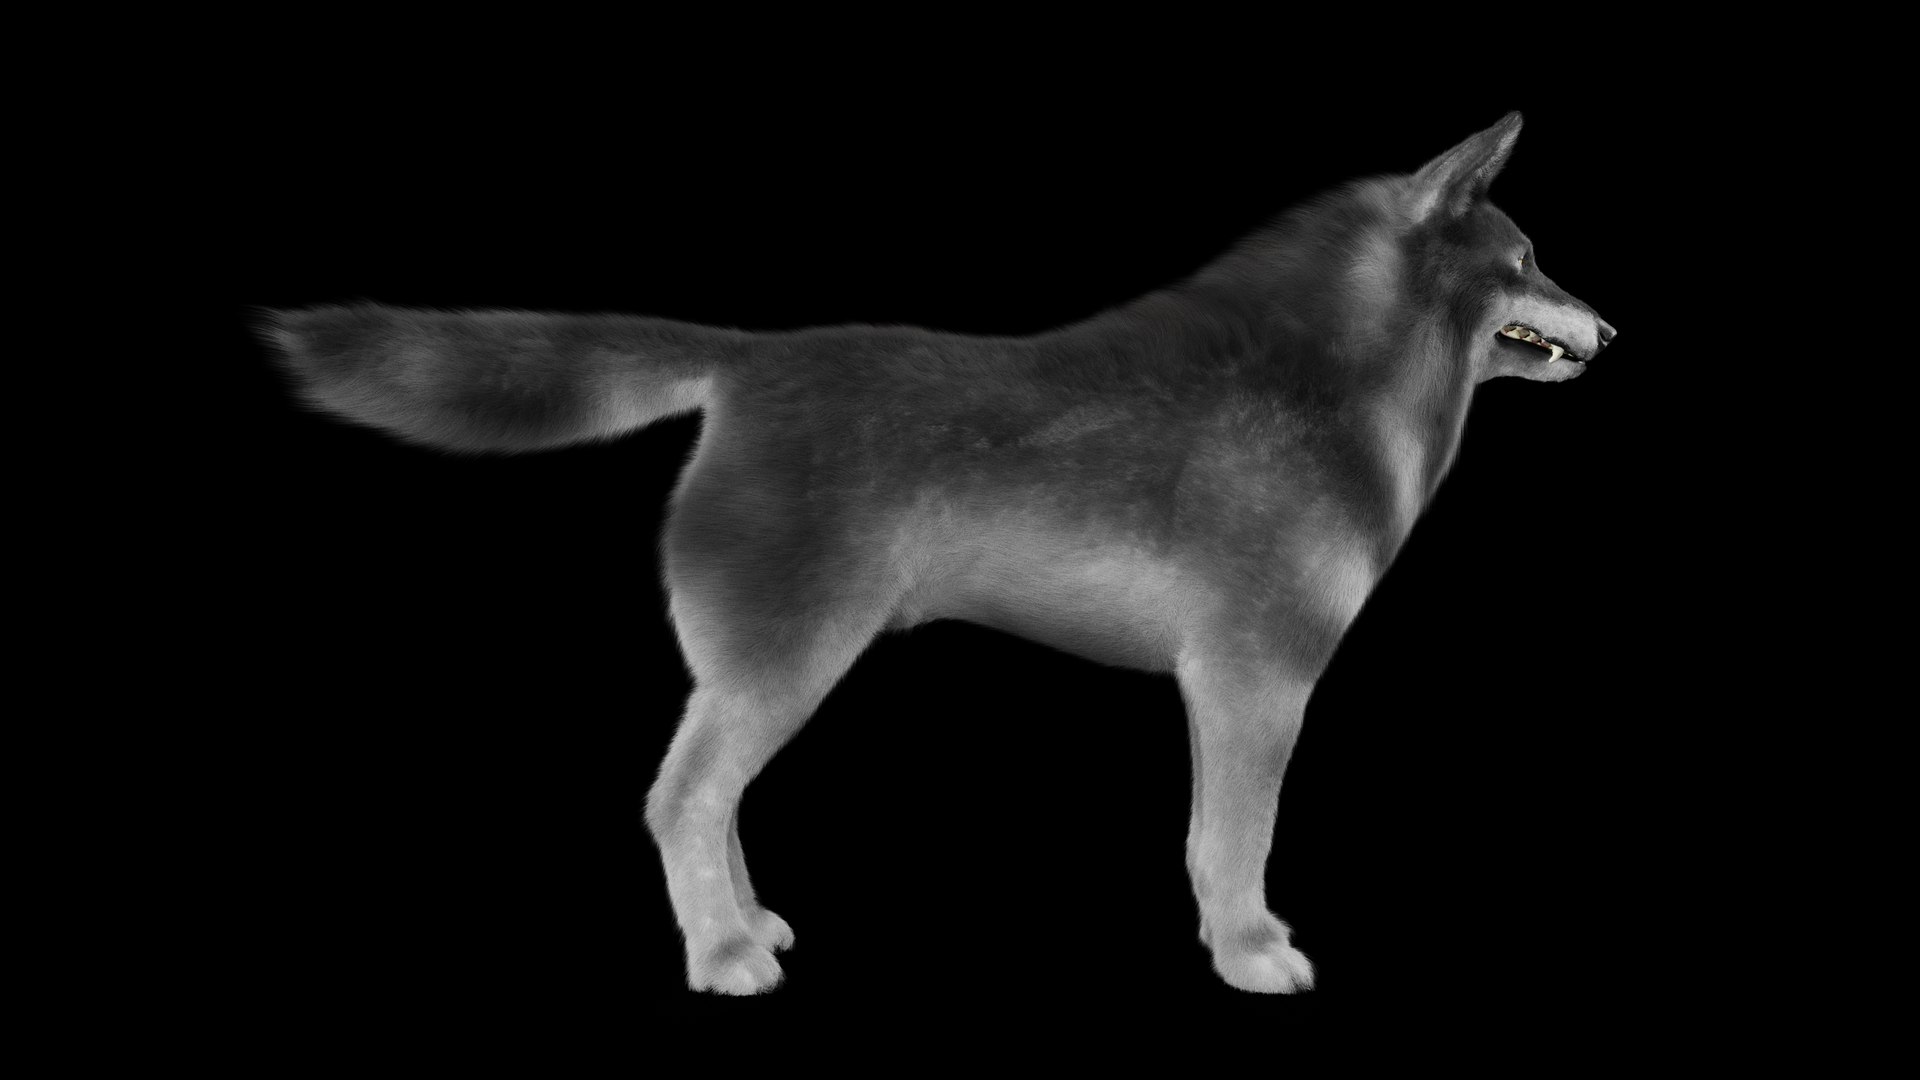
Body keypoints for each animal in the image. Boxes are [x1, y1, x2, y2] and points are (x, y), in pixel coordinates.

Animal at [260, 111, 1615, 995]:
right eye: (1528, 260)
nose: (1612, 326)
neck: (1324, 391)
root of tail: (744, 362)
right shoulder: (1254, 684)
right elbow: (1237, 840)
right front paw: (1248, 953)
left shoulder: (1230, 691)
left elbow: (1212, 837)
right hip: (788, 664)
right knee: (678, 799)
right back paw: (723, 955)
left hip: (769, 670)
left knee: (713, 802)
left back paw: (752, 924)